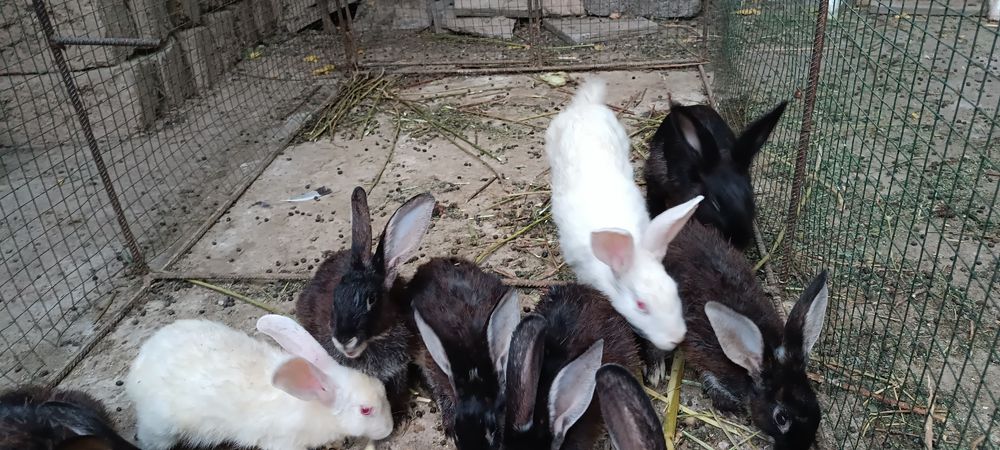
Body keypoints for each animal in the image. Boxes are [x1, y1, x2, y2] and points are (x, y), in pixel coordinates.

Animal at [125, 315, 392, 450]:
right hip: (159, 428)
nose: (389, 429)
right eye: (365, 410)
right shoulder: (283, 443)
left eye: (382, 389)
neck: (315, 404)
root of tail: (139, 363)